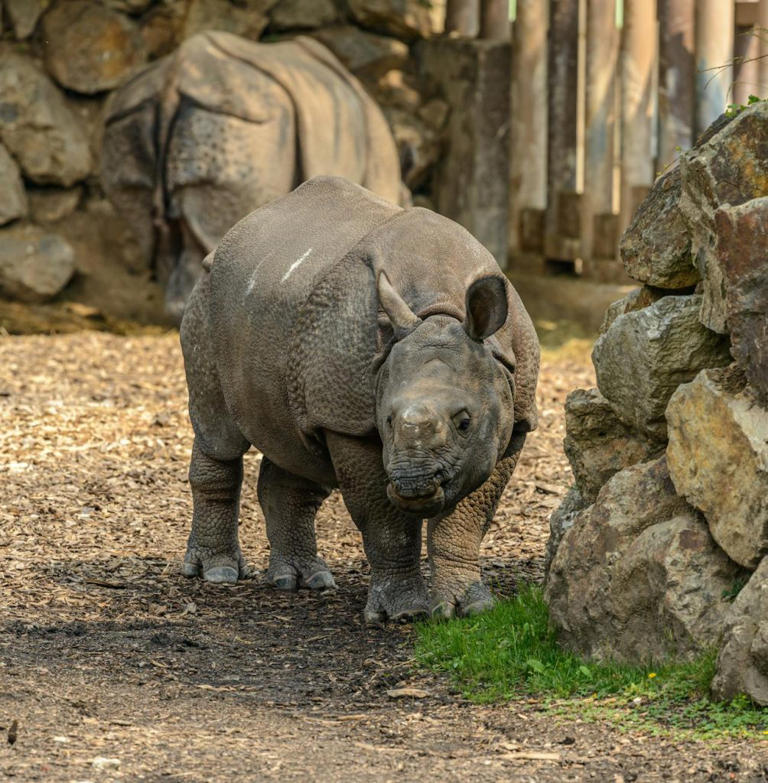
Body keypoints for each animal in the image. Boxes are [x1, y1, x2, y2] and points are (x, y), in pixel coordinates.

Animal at [180, 176, 540, 622]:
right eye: (385, 421)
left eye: (465, 422)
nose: (412, 485)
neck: (441, 311)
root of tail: (235, 231)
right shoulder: (348, 421)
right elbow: (384, 522)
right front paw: (403, 614)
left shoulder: (516, 416)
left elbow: (468, 519)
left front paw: (469, 608)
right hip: (208, 298)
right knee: (219, 432)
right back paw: (219, 573)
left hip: (283, 323)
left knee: (299, 448)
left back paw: (302, 581)